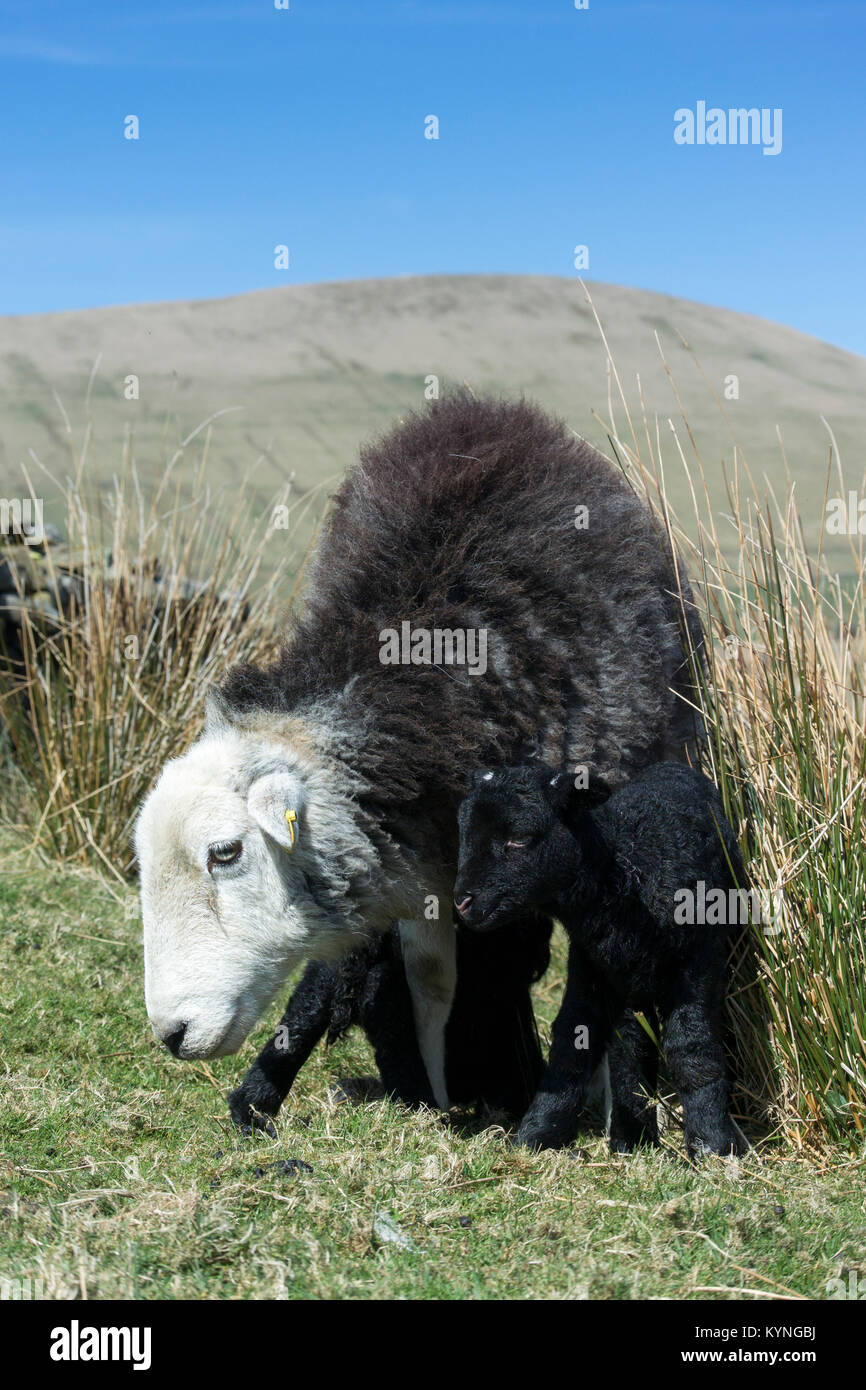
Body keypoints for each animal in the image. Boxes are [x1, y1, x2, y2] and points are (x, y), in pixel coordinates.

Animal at [454, 761, 746, 1157]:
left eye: (520, 838)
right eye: (464, 835)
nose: (462, 902)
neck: (631, 867)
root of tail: (672, 765)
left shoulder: (699, 961)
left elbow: (691, 1047)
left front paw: (713, 1146)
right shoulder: (593, 966)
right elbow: (574, 1042)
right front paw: (536, 1135)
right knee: (632, 1044)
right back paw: (630, 1138)